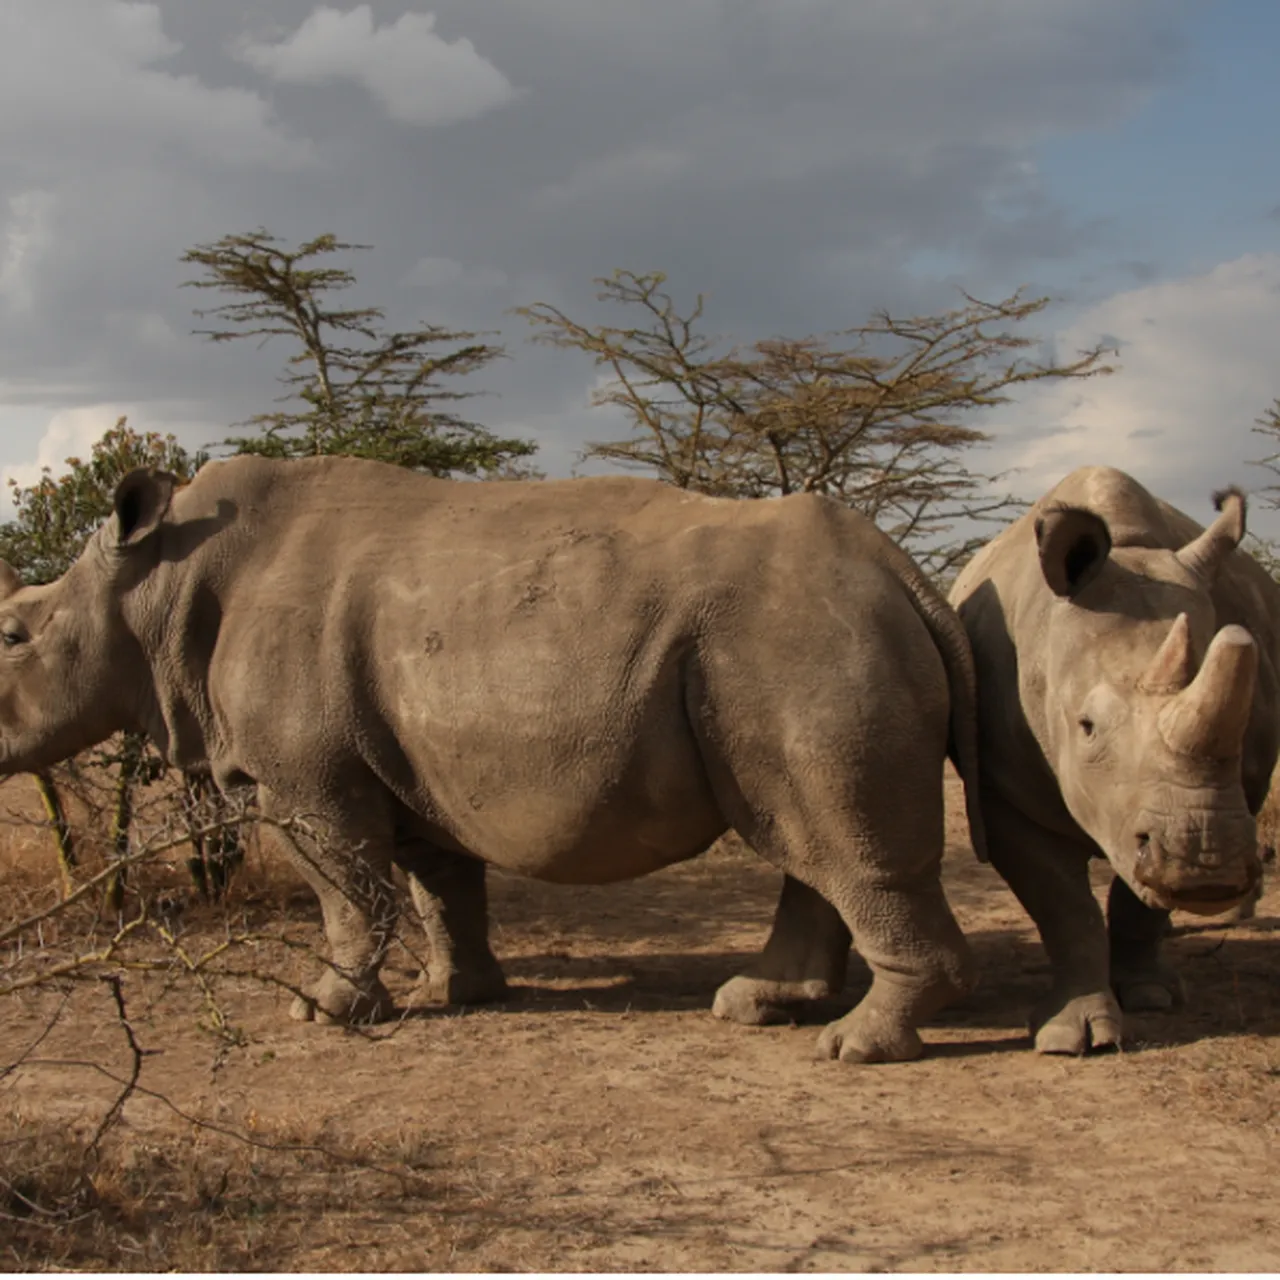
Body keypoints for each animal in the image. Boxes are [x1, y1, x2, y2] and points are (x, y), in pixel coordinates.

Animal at [0, 453, 987, 1063]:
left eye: (11, 635)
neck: (155, 585)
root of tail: (906, 573)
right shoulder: (409, 762)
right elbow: (439, 885)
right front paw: (456, 990)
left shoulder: (307, 779)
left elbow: (344, 889)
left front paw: (322, 1012)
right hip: (793, 640)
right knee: (804, 835)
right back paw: (760, 1006)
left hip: (800, 642)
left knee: (836, 839)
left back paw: (852, 1047)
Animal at [949, 466, 1280, 1054]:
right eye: (1087, 728)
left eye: (1243, 731)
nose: (1206, 864)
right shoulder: (1004, 790)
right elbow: (1063, 906)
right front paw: (1075, 1036)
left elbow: (1135, 899)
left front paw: (1151, 996)